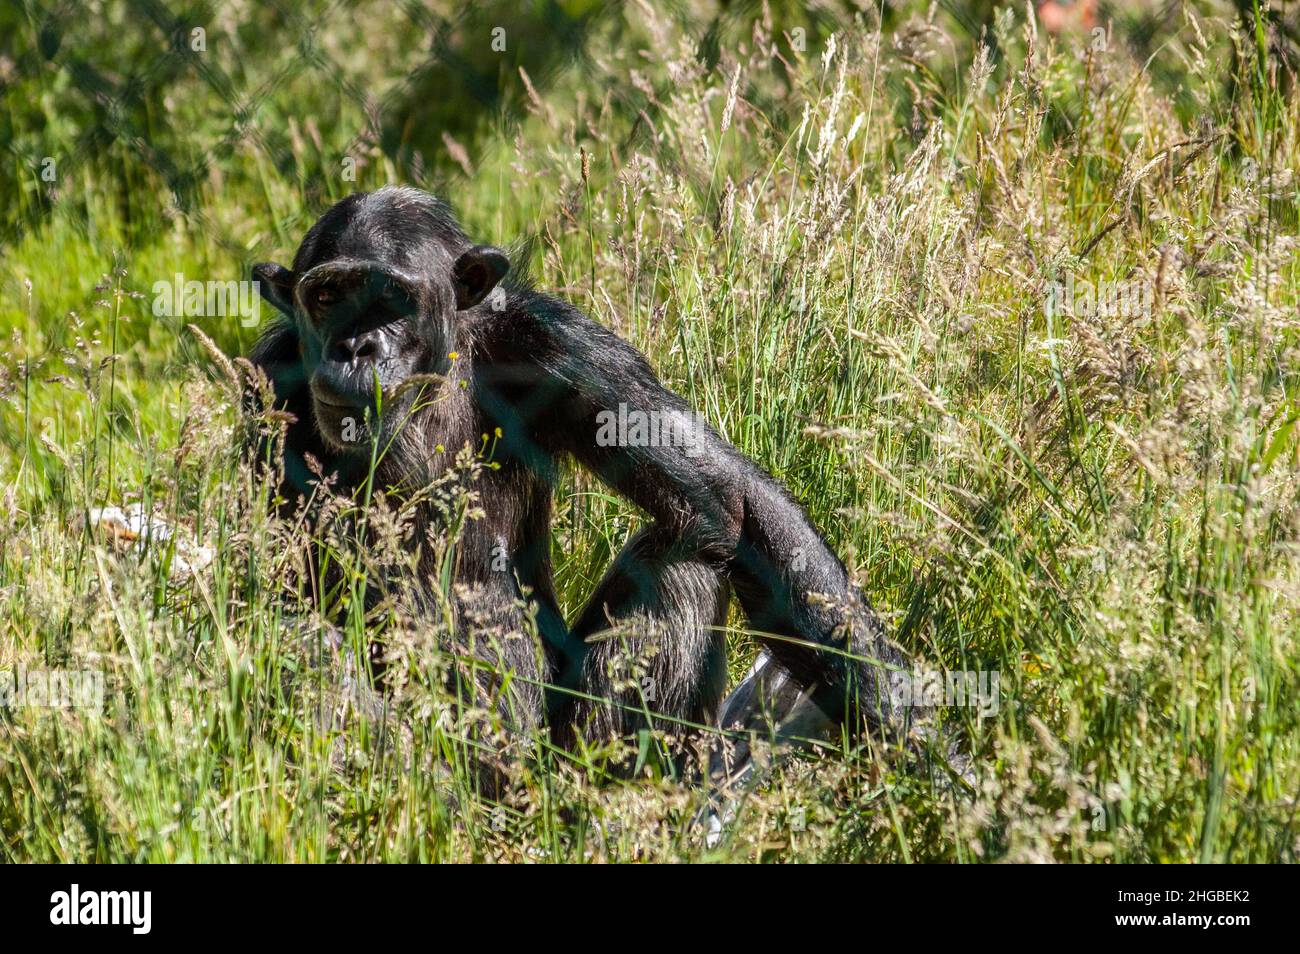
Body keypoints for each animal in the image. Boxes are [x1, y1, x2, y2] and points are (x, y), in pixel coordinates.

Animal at [246, 185, 918, 785]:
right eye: (327, 296)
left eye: (391, 297)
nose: (354, 345)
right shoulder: (268, 386)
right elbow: (270, 595)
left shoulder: (560, 345)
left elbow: (733, 501)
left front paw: (919, 752)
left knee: (687, 557)